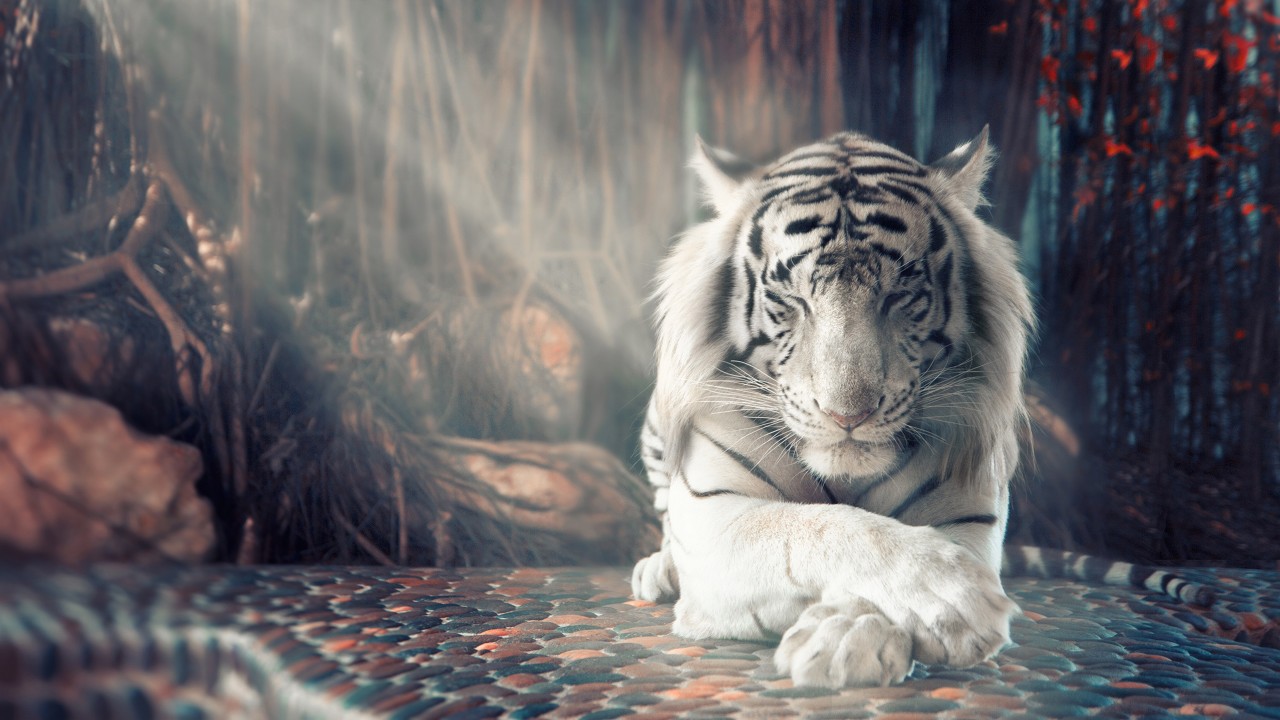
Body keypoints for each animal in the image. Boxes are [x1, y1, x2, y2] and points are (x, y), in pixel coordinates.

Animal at [630, 128, 1212, 689]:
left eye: (899, 296)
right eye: (791, 299)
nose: (847, 416)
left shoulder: (969, 513)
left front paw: (848, 637)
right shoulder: (715, 516)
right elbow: (822, 527)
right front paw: (951, 597)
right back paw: (658, 570)